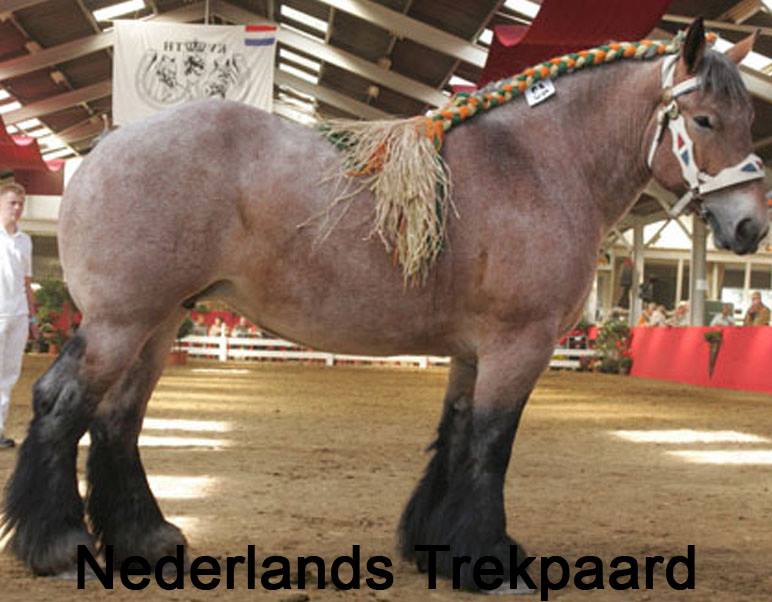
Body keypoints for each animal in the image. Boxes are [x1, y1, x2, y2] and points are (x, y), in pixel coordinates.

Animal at [2, 18, 767, 592]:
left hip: (159, 323)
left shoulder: (473, 352)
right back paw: (59, 543)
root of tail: (111, 143)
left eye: (746, 119)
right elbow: (491, 445)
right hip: (120, 322)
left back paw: (146, 537)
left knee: (117, 420)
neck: (537, 164)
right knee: (63, 404)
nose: (750, 229)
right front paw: (491, 561)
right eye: (704, 119)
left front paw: (438, 546)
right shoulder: (518, 345)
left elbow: (455, 436)